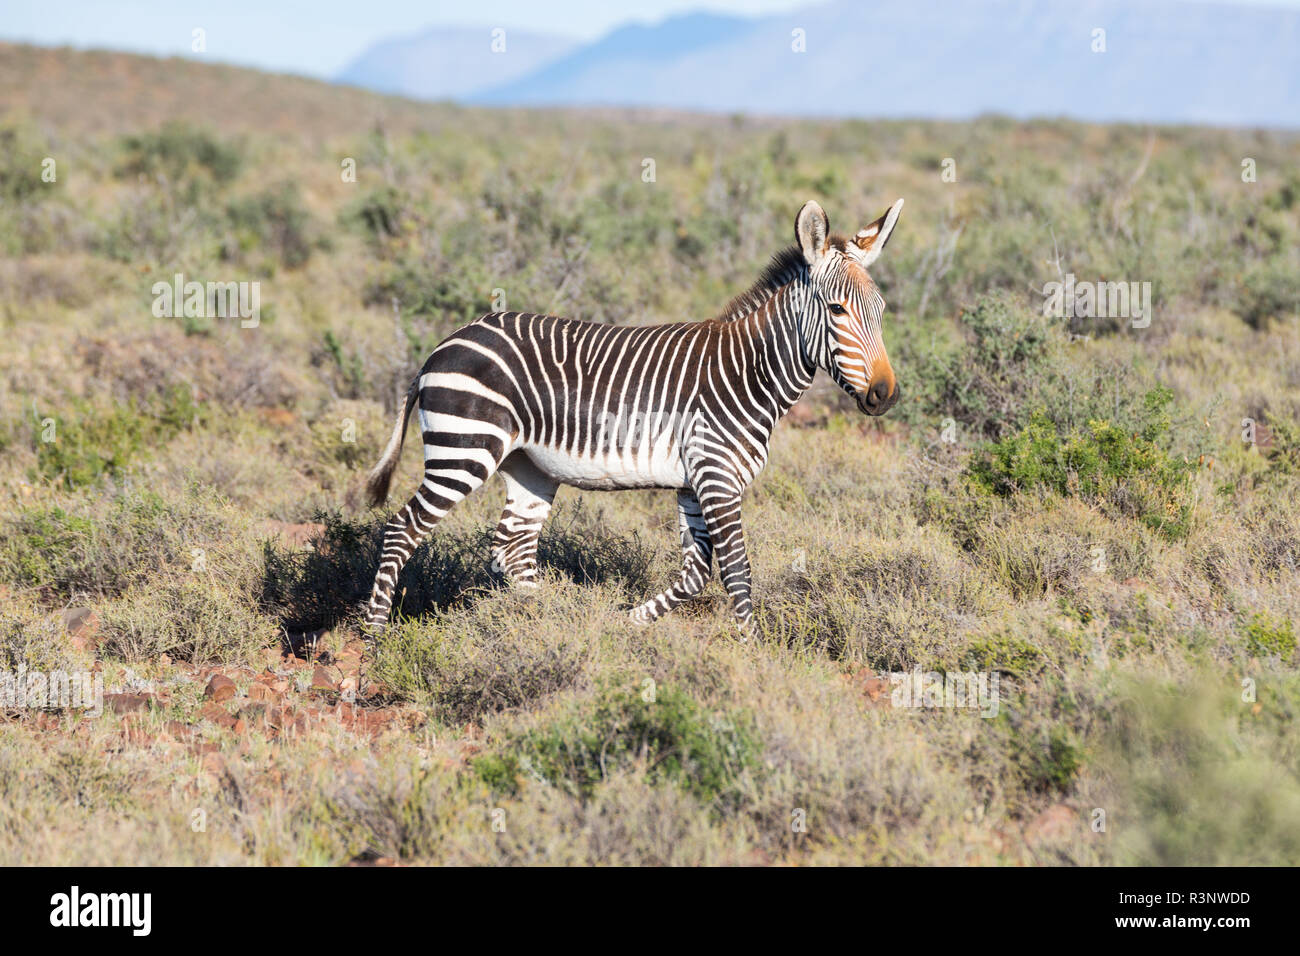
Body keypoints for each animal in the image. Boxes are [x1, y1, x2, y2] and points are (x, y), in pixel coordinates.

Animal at [362, 198, 904, 635]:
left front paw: (633, 621)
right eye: (836, 310)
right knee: (403, 529)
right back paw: (376, 636)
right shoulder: (717, 477)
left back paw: (546, 624)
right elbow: (737, 571)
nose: (884, 394)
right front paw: (755, 651)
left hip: (528, 465)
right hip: (464, 450)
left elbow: (695, 573)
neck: (748, 374)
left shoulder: (693, 483)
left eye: (880, 310)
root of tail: (443, 344)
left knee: (512, 547)